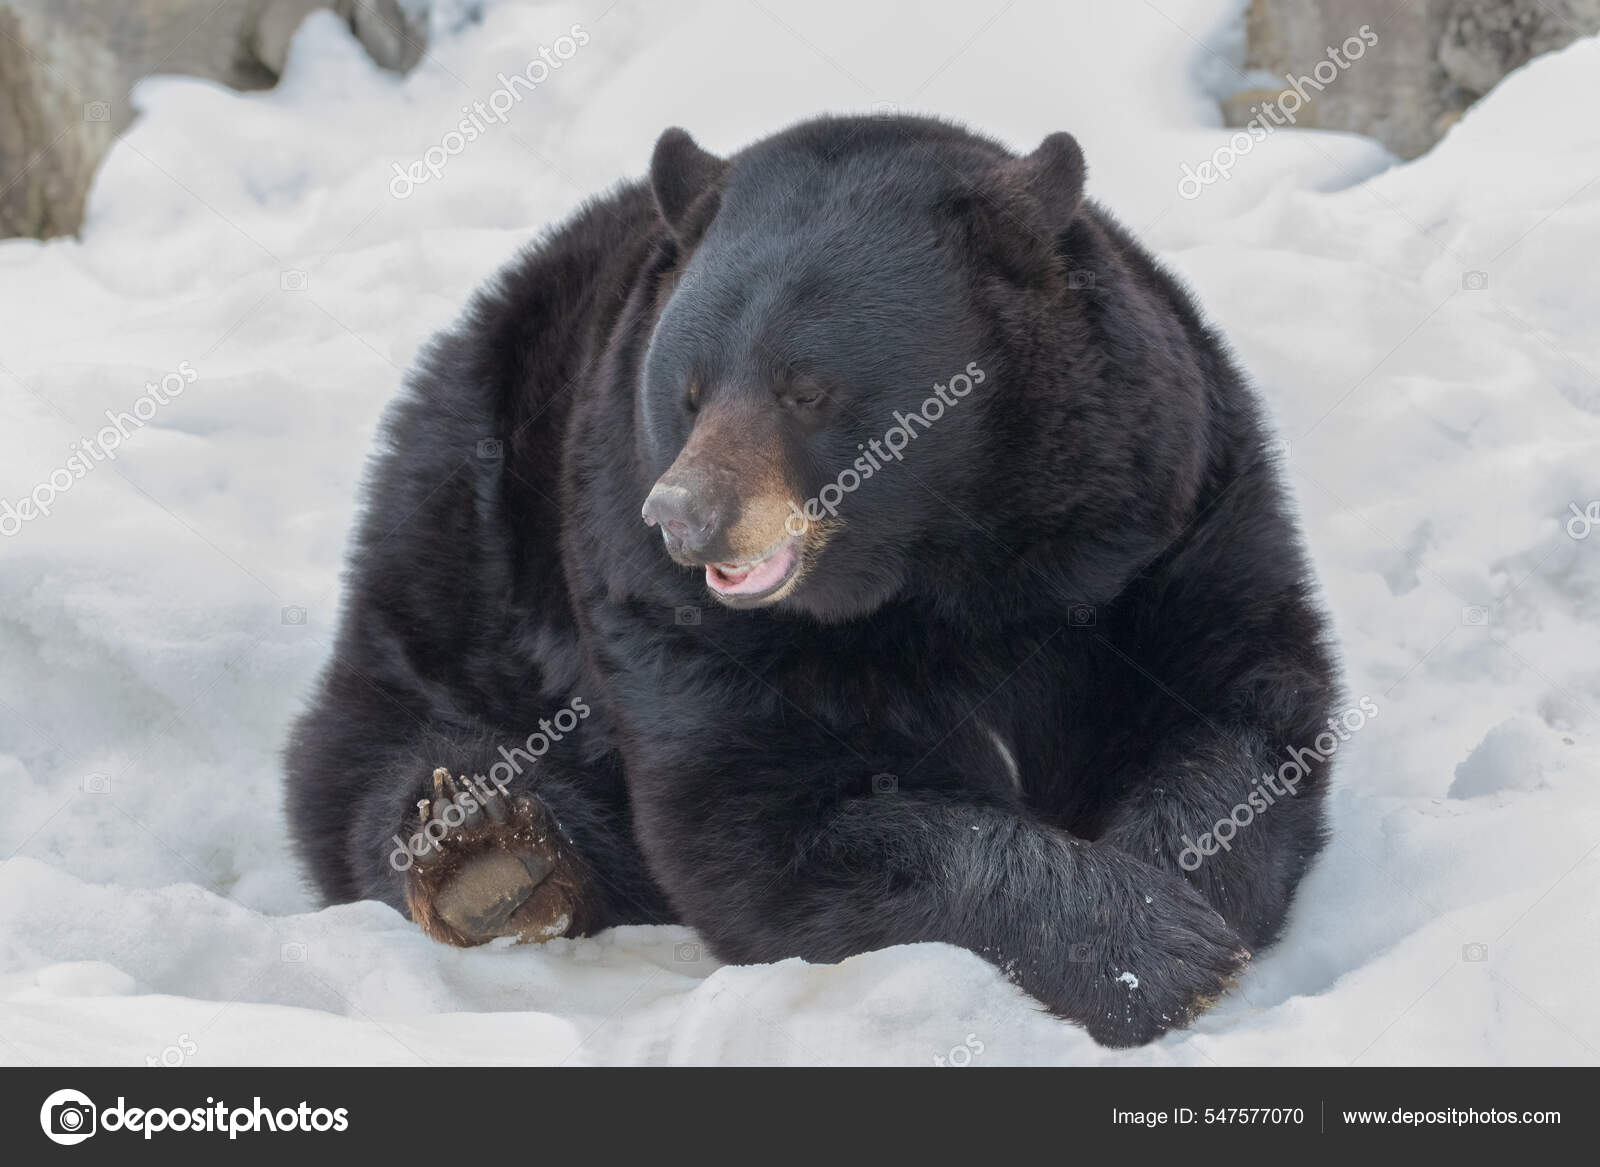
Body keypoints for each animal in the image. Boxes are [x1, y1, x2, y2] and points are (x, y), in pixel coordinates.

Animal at [284, 114, 1339, 1048]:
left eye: (805, 388)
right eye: (690, 392)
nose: (681, 513)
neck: (944, 575)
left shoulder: (1162, 518)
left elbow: (1239, 702)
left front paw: (1179, 885)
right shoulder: (661, 610)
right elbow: (762, 824)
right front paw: (1144, 948)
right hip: (461, 556)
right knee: (373, 751)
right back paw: (482, 847)